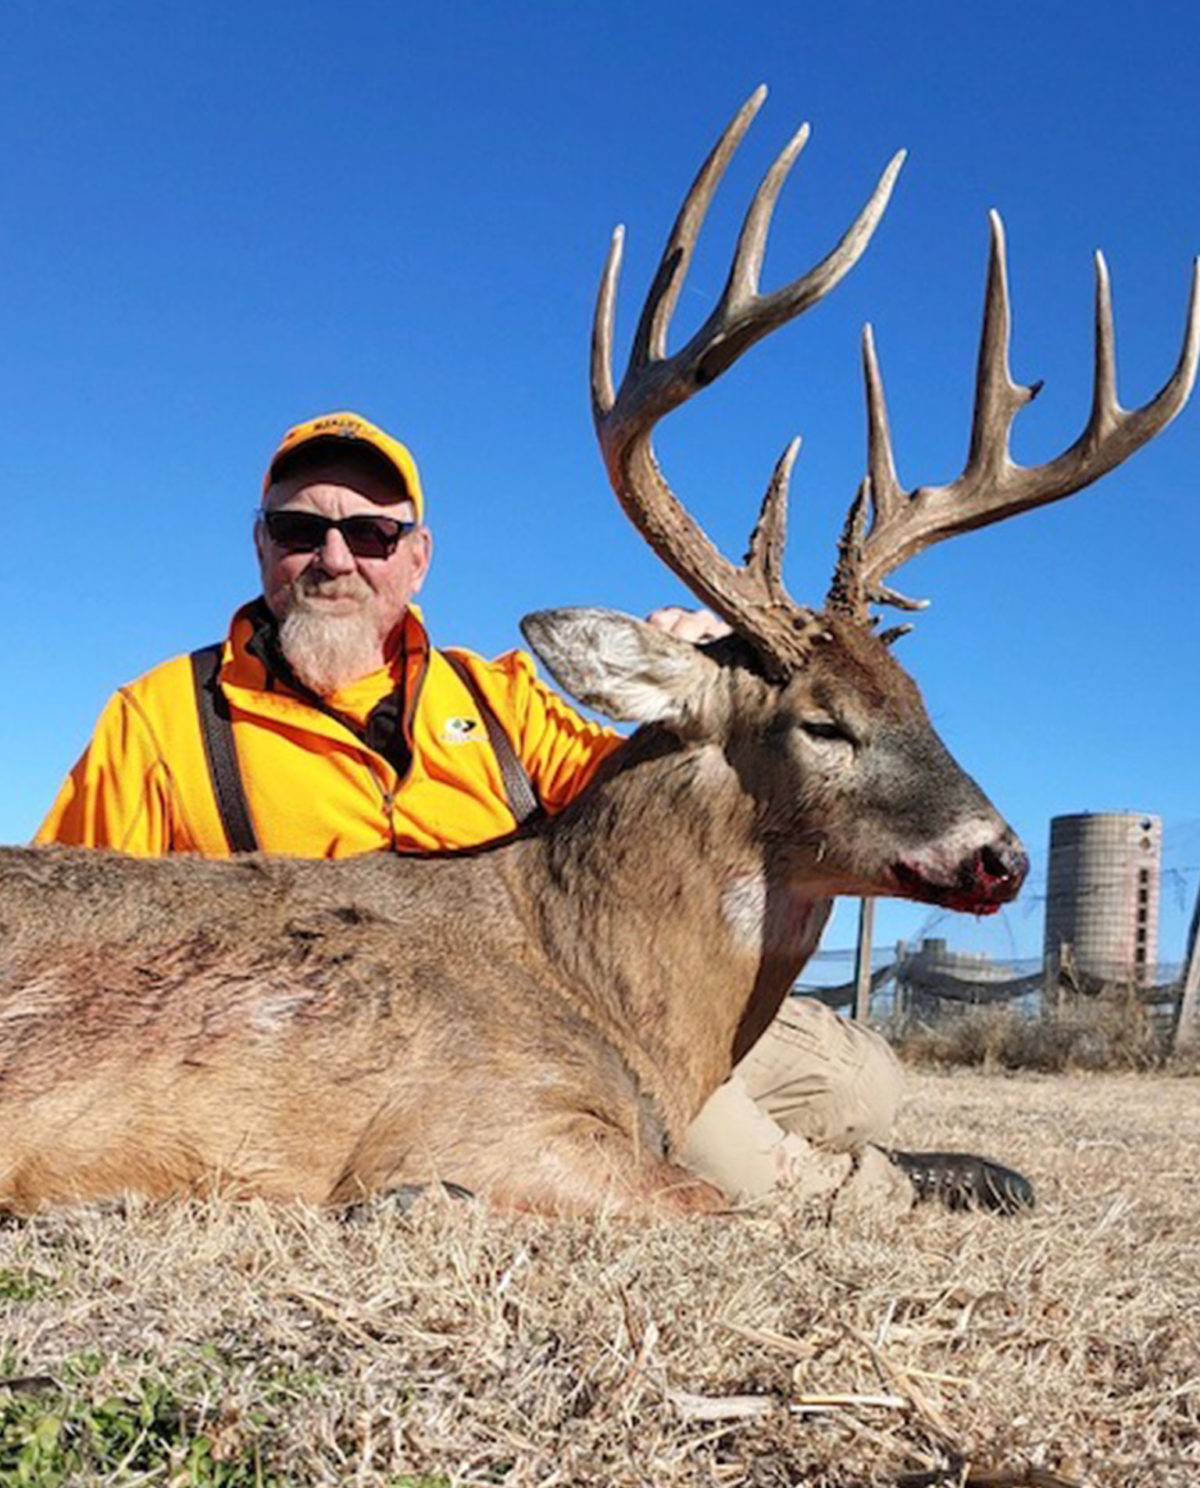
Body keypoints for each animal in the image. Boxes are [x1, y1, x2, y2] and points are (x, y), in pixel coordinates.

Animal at [1, 87, 1195, 1218]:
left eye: (922, 700)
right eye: (822, 720)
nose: (1002, 856)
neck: (598, 986)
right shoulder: (487, 1115)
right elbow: (721, 1208)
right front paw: (407, 1204)